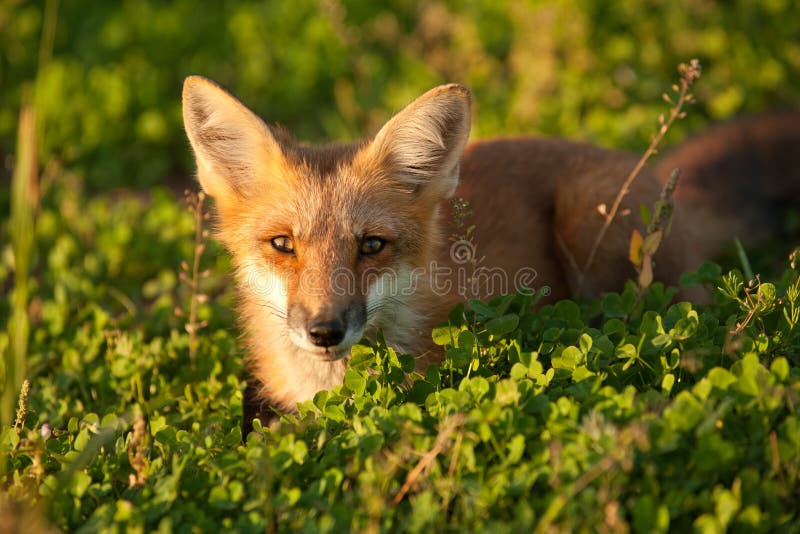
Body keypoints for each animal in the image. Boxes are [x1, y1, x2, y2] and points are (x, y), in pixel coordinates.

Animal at [181, 76, 800, 435]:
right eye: (283, 244)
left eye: (371, 245)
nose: (325, 331)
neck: (329, 389)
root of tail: (653, 170)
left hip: (594, 228)